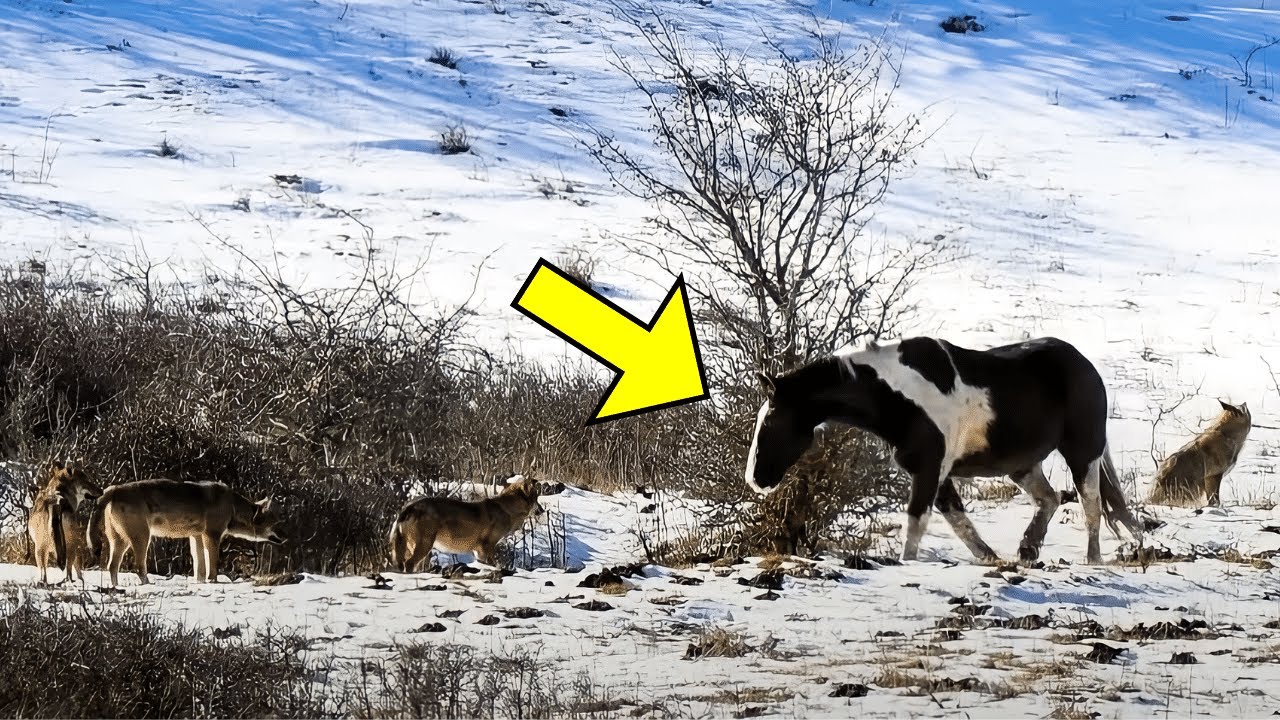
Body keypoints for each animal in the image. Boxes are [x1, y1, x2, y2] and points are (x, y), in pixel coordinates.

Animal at [87, 479, 286, 587]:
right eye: (277, 523)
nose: (286, 538)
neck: (232, 506)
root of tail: (113, 489)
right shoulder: (212, 535)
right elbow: (212, 566)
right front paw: (213, 582)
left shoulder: (196, 537)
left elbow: (200, 568)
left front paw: (201, 583)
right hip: (143, 538)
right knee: (138, 566)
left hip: (121, 541)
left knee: (112, 566)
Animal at [388, 475, 545, 573]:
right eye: (537, 498)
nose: (542, 510)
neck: (506, 508)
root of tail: (409, 507)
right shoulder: (486, 547)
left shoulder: (478, 551)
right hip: (425, 545)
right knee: (409, 564)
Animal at [744, 336, 1144, 564]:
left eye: (772, 423)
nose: (755, 479)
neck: (900, 396)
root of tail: (1085, 365)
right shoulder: (934, 471)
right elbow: (959, 522)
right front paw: (990, 559)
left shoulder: (929, 467)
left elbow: (916, 525)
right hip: (1022, 464)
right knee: (1049, 499)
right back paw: (1027, 550)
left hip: (1082, 453)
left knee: (1091, 506)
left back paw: (1092, 560)